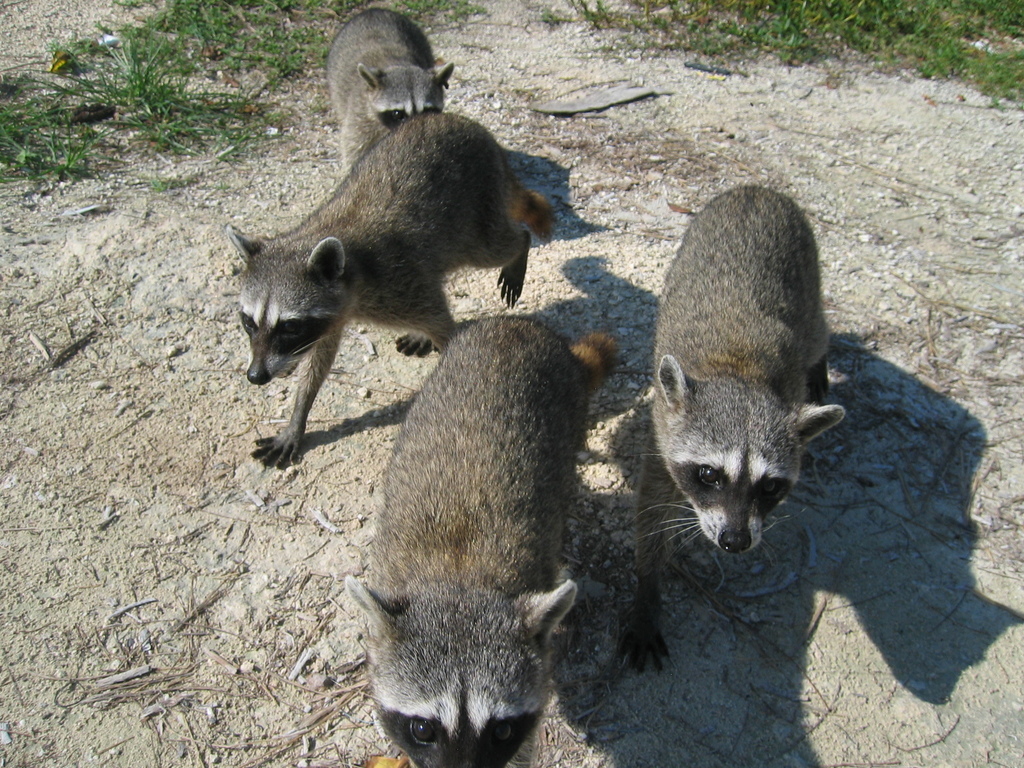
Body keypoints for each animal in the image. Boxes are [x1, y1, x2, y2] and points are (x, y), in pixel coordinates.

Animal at [225, 112, 553, 468]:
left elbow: (448, 331)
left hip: (479, 209)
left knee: (496, 246)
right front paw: (298, 417)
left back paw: (519, 247)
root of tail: (463, 123)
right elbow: (318, 363)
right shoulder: (331, 317)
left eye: (289, 326)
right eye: (248, 322)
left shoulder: (398, 282)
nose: (256, 376)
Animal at [327, 8, 454, 176]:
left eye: (428, 110)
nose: (417, 132)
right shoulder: (360, 114)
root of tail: (373, 11)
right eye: (397, 114)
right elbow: (355, 149)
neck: (398, 65)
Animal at [621, 185, 845, 671]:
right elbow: (651, 515)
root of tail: (757, 191)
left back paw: (821, 360)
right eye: (709, 474)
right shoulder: (663, 433)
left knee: (818, 332)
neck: (739, 372)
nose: (736, 541)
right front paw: (647, 591)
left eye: (771, 486)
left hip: (807, 276)